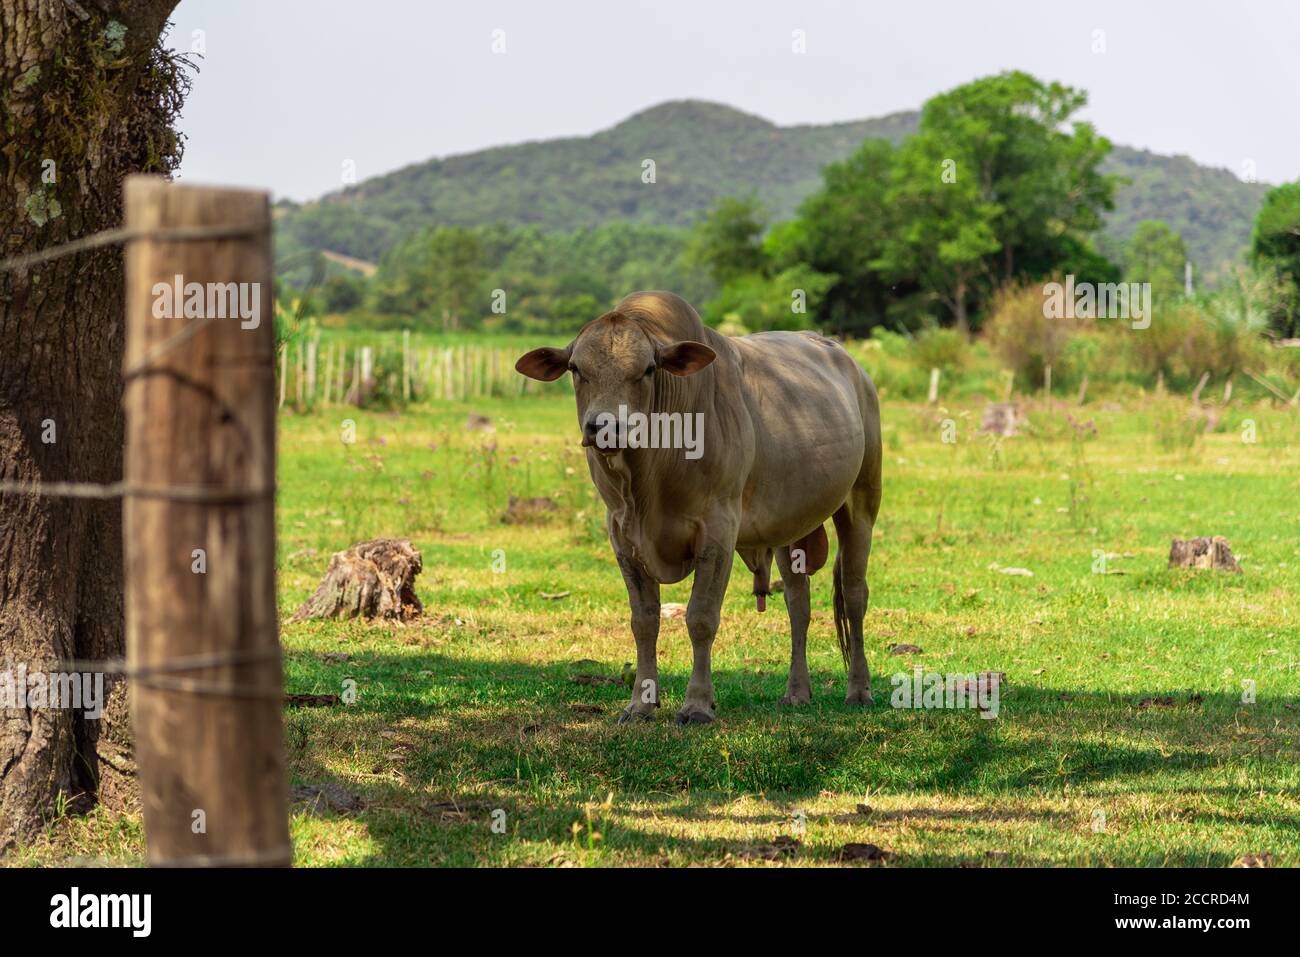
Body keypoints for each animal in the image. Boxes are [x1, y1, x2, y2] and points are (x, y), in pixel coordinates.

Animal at [515, 291, 882, 724]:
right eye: (575, 368)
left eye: (648, 369)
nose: (605, 426)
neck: (648, 480)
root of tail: (851, 365)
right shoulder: (621, 532)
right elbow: (644, 621)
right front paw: (640, 704)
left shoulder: (718, 529)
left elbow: (701, 618)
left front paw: (697, 704)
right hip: (787, 528)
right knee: (799, 603)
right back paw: (796, 692)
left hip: (862, 502)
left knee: (855, 595)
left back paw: (859, 690)